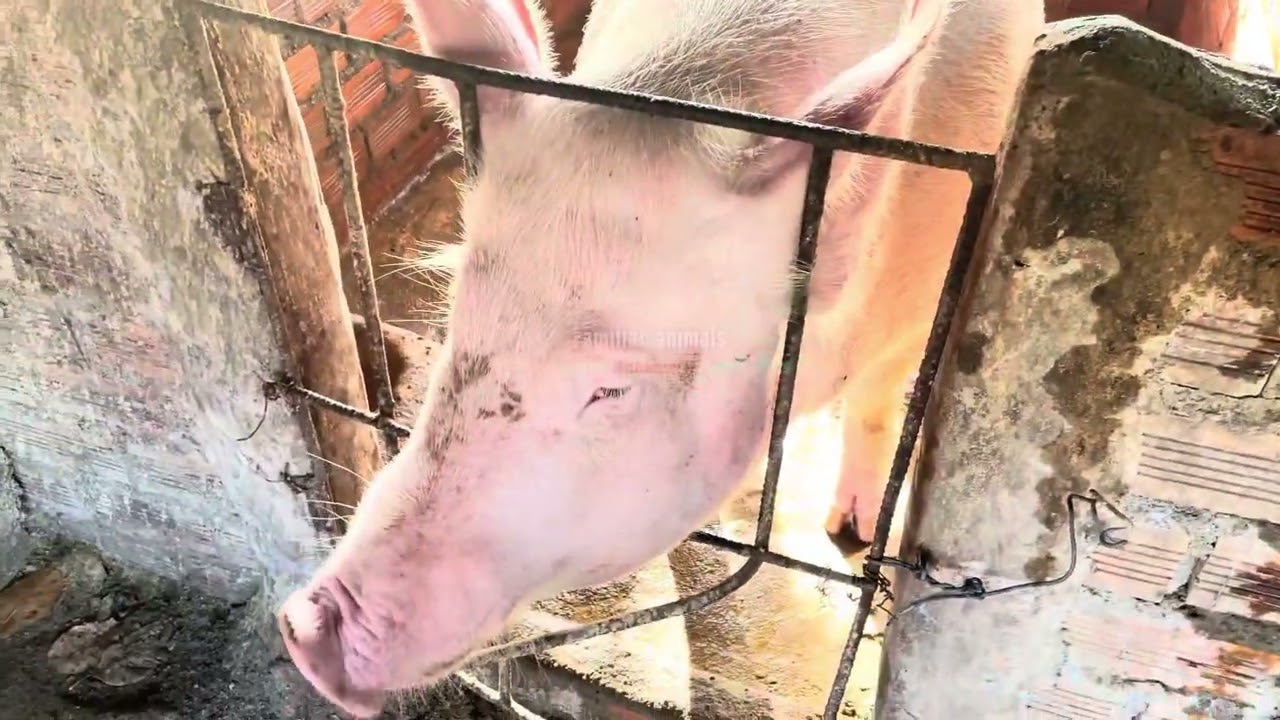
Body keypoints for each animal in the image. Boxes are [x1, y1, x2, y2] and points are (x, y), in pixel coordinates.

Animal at [277, 0, 1044, 716]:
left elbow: (881, 405)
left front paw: (849, 529)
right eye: (455, 323)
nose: (306, 623)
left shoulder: (922, 300)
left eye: (611, 391)